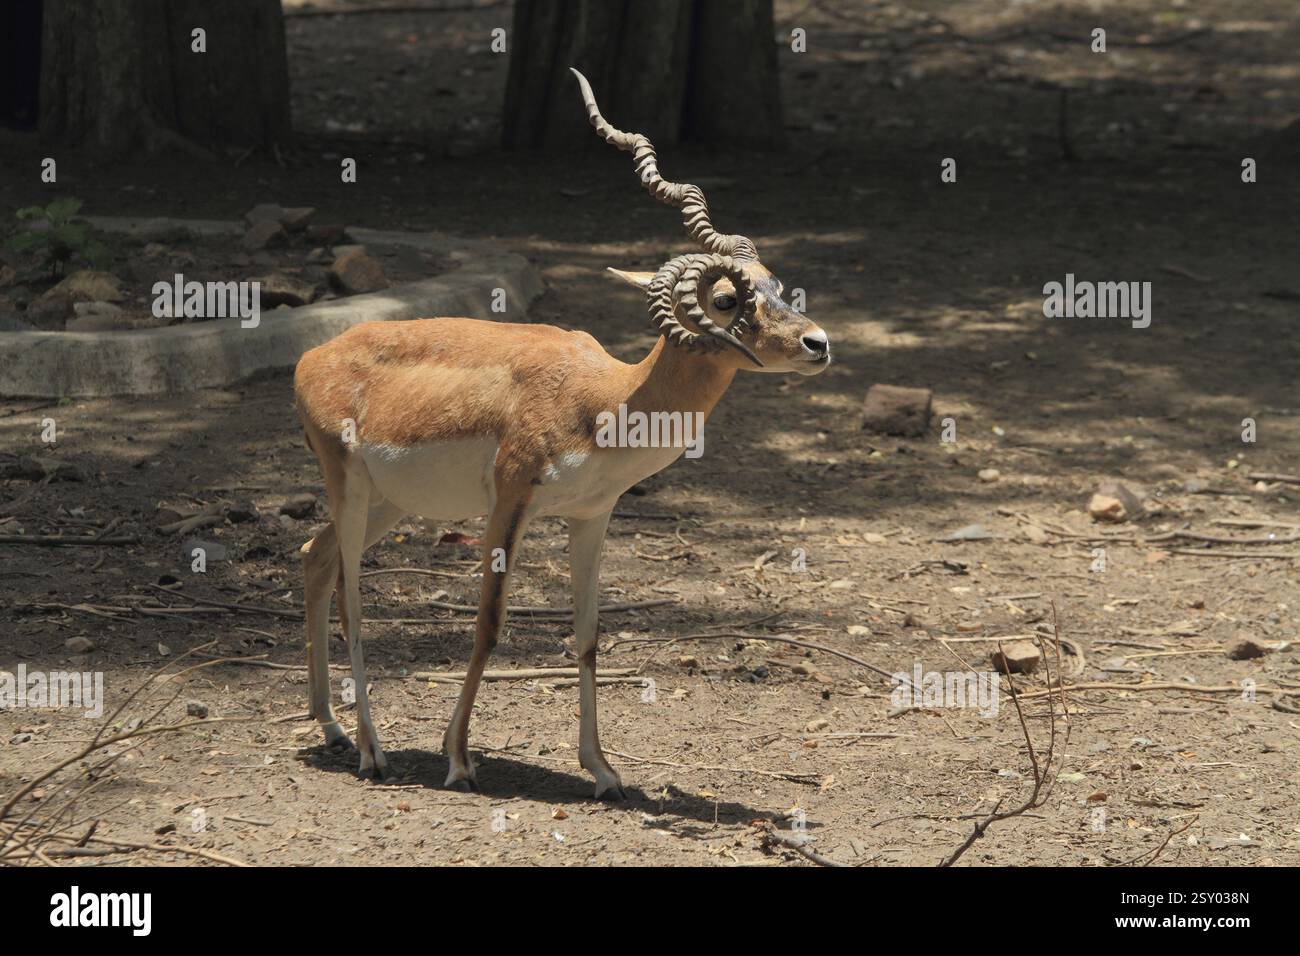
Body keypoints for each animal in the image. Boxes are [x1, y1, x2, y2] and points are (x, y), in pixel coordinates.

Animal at [293, 69, 831, 798]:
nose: (817, 343)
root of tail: (312, 357)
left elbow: (587, 634)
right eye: (726, 300)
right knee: (351, 597)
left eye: (775, 284)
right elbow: (489, 625)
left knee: (314, 559)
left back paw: (331, 728)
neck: (604, 398)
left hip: (390, 502)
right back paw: (373, 752)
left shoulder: (591, 515)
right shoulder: (511, 499)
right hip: (349, 484)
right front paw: (458, 759)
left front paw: (602, 769)